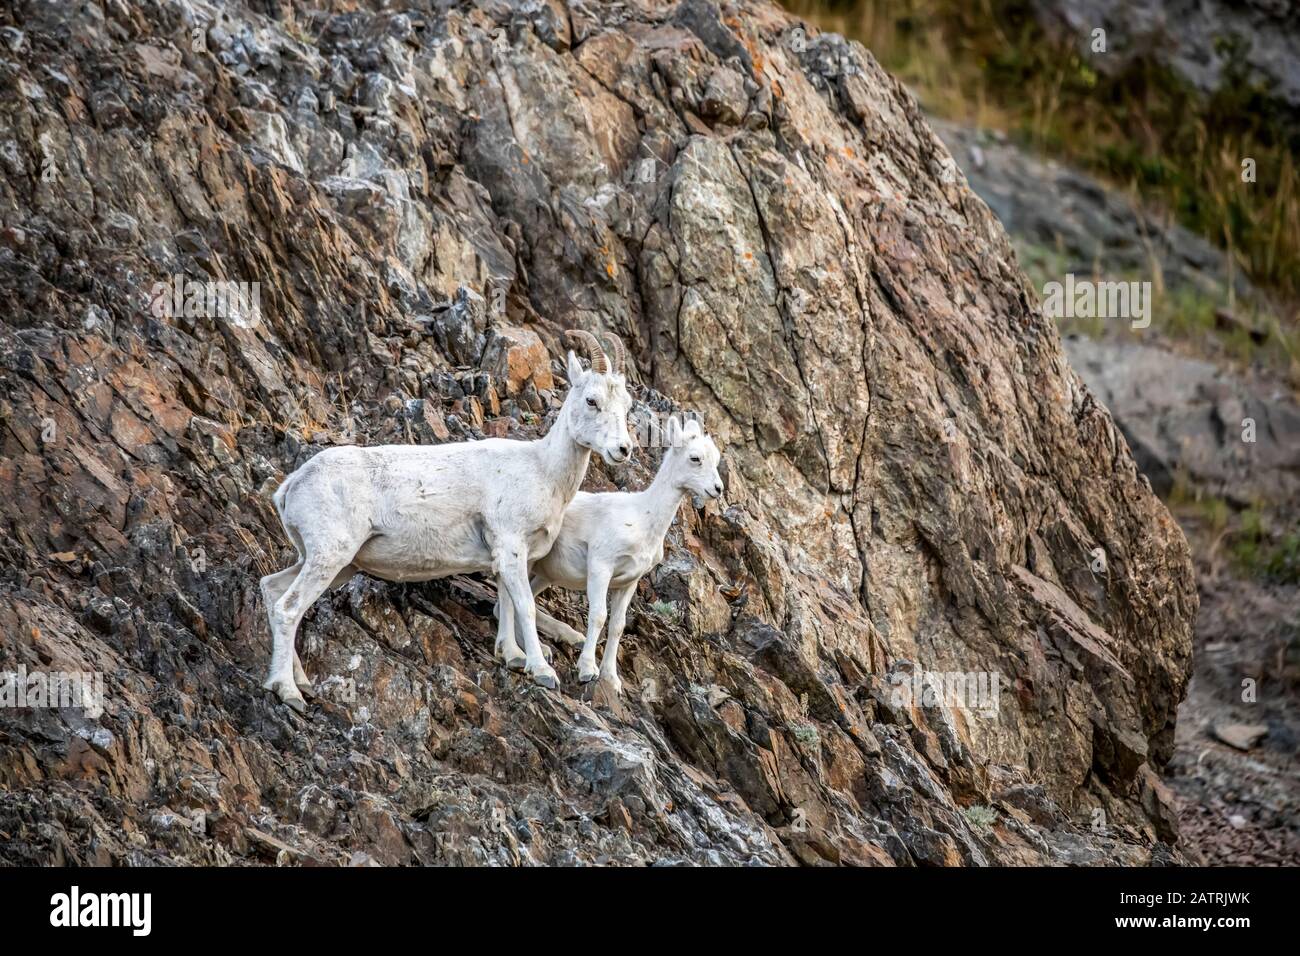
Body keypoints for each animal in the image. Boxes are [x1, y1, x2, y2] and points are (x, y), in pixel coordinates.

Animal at [260, 330, 633, 710]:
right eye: (591, 400)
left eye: (627, 404)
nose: (623, 450)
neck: (543, 470)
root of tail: (292, 485)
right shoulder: (512, 547)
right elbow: (525, 606)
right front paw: (542, 672)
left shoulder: (505, 554)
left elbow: (506, 602)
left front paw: (512, 656)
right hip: (330, 556)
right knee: (288, 608)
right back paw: (288, 692)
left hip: (335, 563)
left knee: (272, 590)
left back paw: (300, 682)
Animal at [496, 417, 723, 695]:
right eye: (695, 458)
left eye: (716, 459)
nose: (717, 489)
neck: (643, 519)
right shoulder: (600, 567)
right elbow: (598, 616)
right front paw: (587, 670)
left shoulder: (628, 583)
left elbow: (617, 626)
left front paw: (611, 679)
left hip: (548, 574)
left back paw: (560, 642)